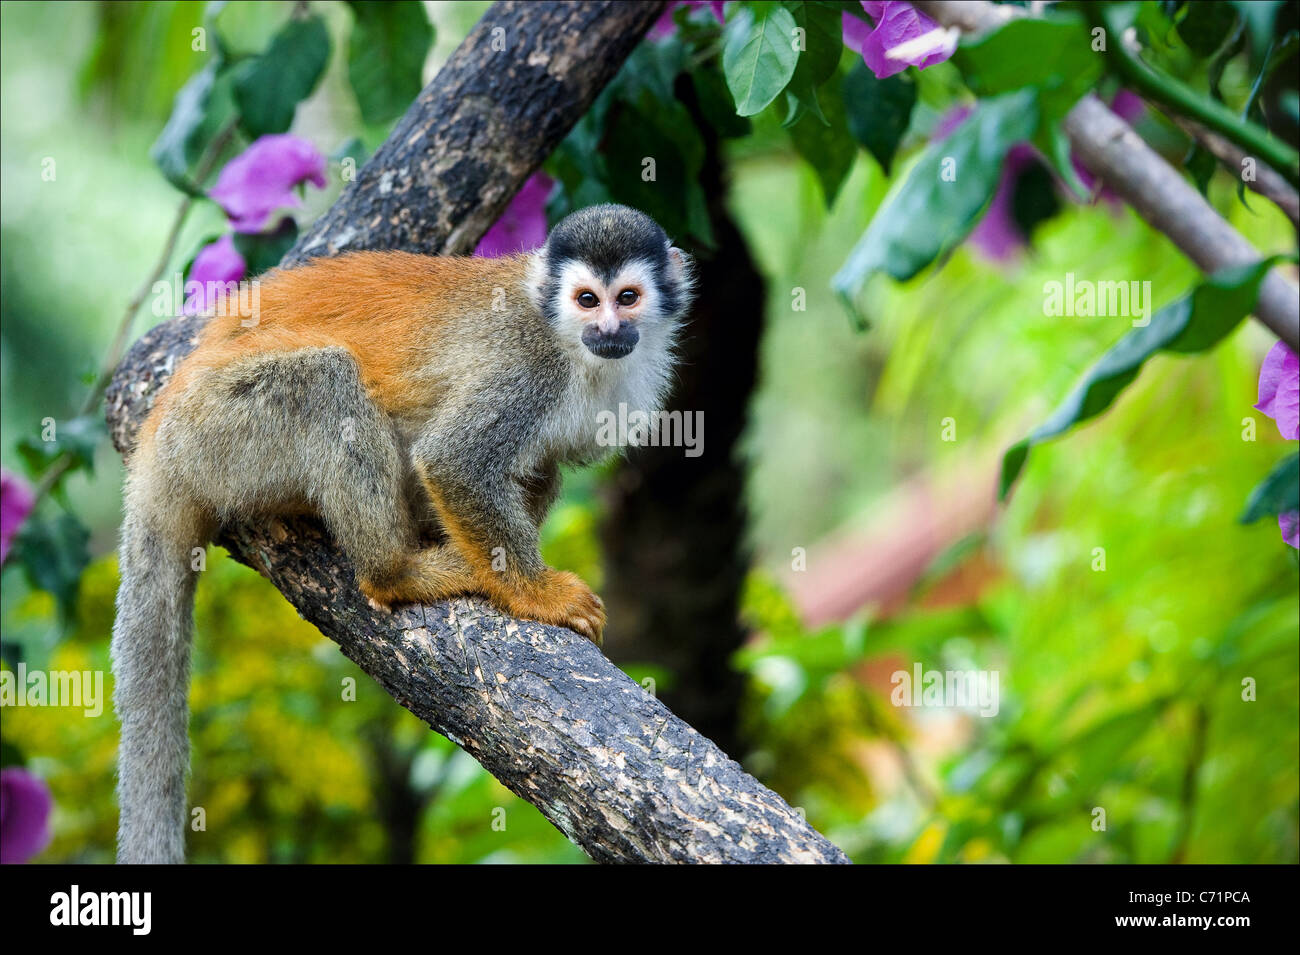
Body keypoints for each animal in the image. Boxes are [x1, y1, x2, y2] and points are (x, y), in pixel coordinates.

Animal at [110, 203, 694, 863]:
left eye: (628, 298)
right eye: (587, 300)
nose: (610, 328)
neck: (574, 348)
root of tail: (157, 439)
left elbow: (534, 467)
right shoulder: (528, 368)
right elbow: (455, 461)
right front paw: (536, 594)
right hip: (214, 430)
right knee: (326, 382)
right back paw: (394, 573)